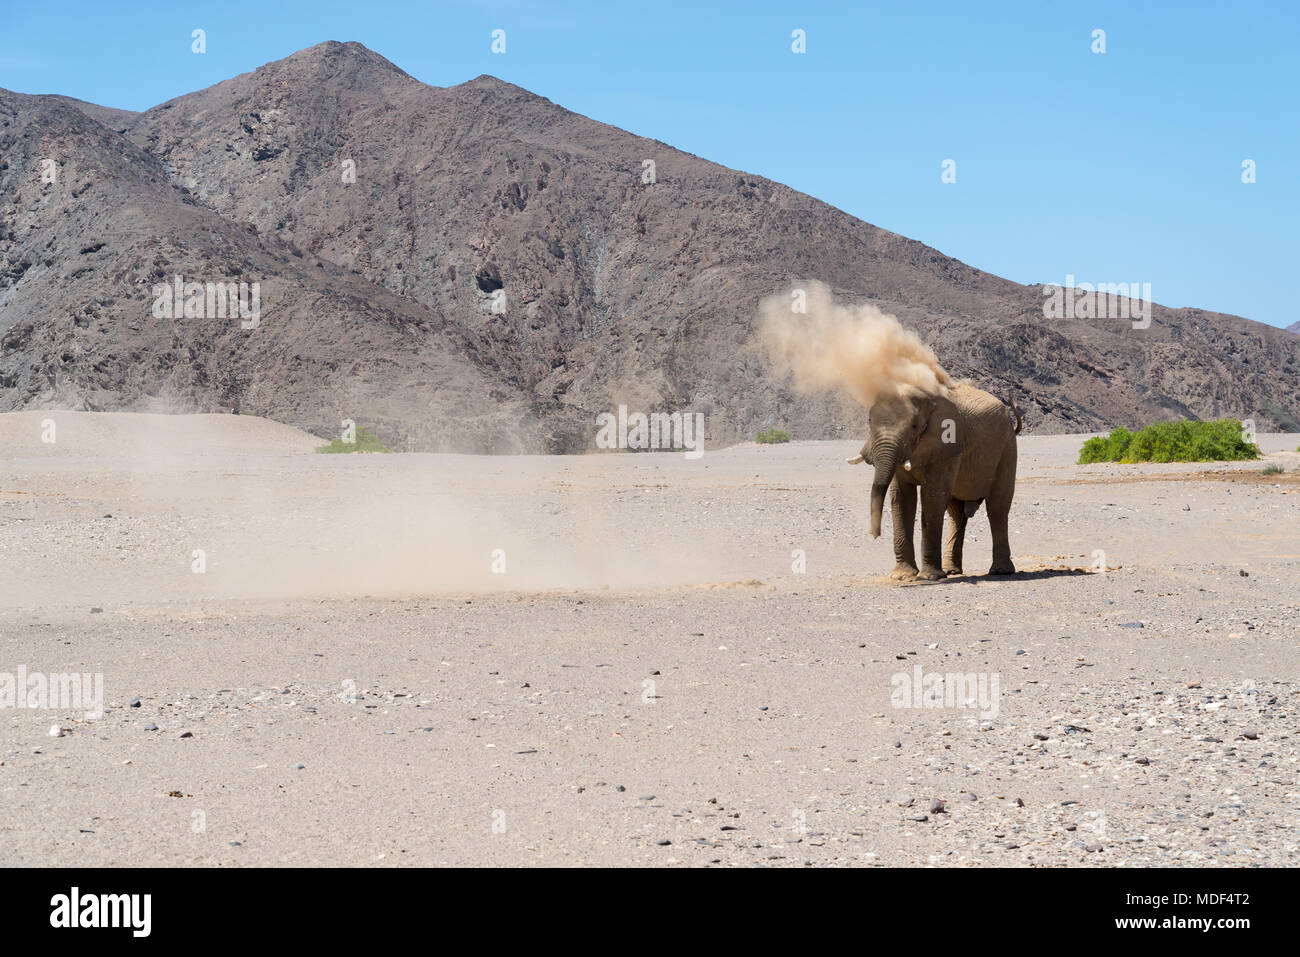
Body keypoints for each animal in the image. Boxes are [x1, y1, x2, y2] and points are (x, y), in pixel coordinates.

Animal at [846, 382, 1021, 581]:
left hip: (1007, 449)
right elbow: (901, 498)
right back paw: (952, 571)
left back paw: (1000, 571)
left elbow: (932, 496)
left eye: (914, 425)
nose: (875, 534)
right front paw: (901, 576)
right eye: (869, 421)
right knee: (957, 513)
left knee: (997, 507)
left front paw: (929, 577)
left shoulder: (948, 445)